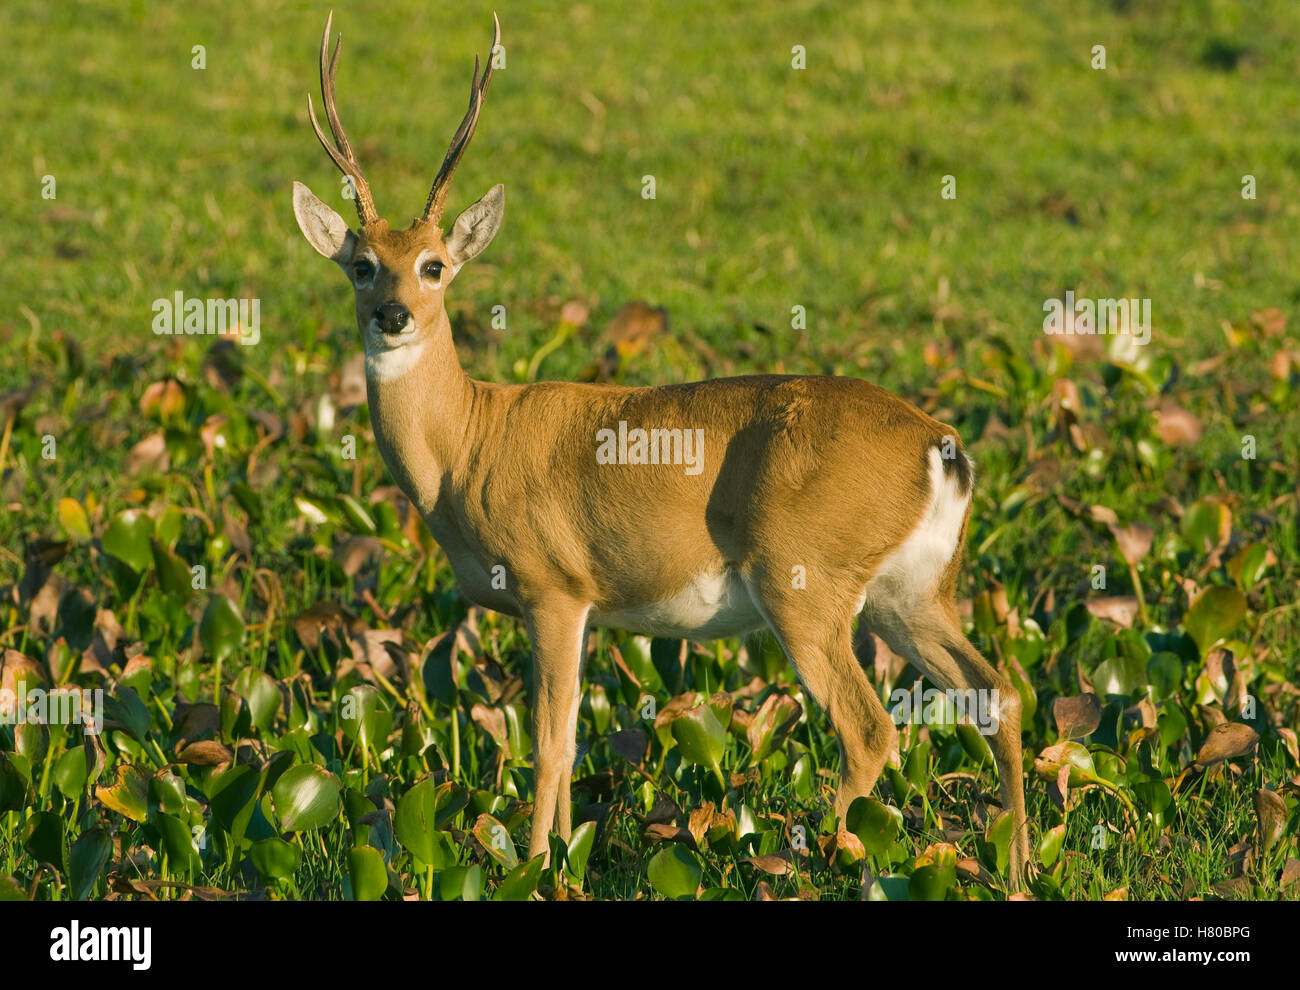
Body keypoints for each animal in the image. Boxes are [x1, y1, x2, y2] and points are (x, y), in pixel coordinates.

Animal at [292, 12, 1031, 889]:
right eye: (361, 265)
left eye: (434, 265)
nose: (394, 314)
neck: (466, 447)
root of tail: (940, 445)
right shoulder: (584, 607)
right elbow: (574, 744)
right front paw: (569, 863)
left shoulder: (552, 589)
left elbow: (548, 746)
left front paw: (534, 870)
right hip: (911, 592)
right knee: (997, 694)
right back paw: (1020, 868)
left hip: (802, 578)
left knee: (870, 727)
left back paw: (826, 861)